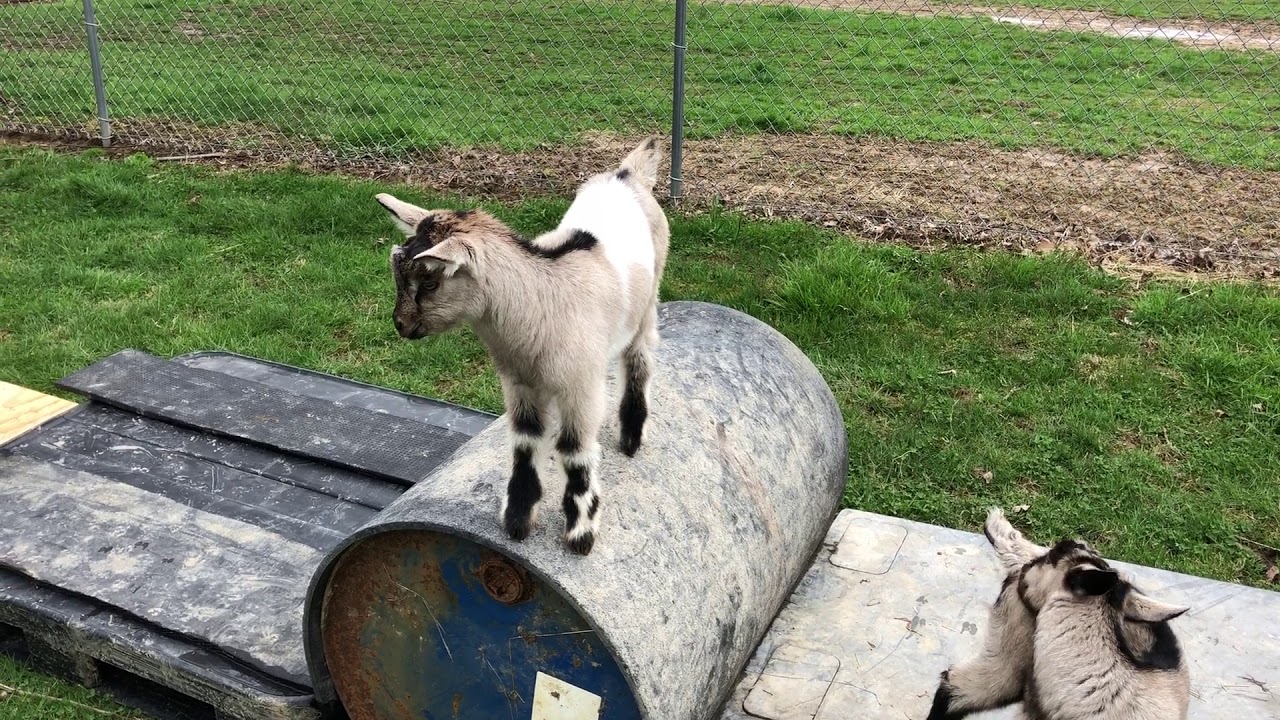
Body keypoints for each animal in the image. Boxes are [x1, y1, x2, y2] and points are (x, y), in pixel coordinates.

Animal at [375, 137, 669, 556]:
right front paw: (517, 519)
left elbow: (575, 451)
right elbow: (526, 442)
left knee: (640, 359)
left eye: (430, 282)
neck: (540, 300)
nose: (400, 325)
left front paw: (580, 533)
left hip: (648, 301)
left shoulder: (582, 386)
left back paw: (631, 436)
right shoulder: (518, 383)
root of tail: (627, 174)